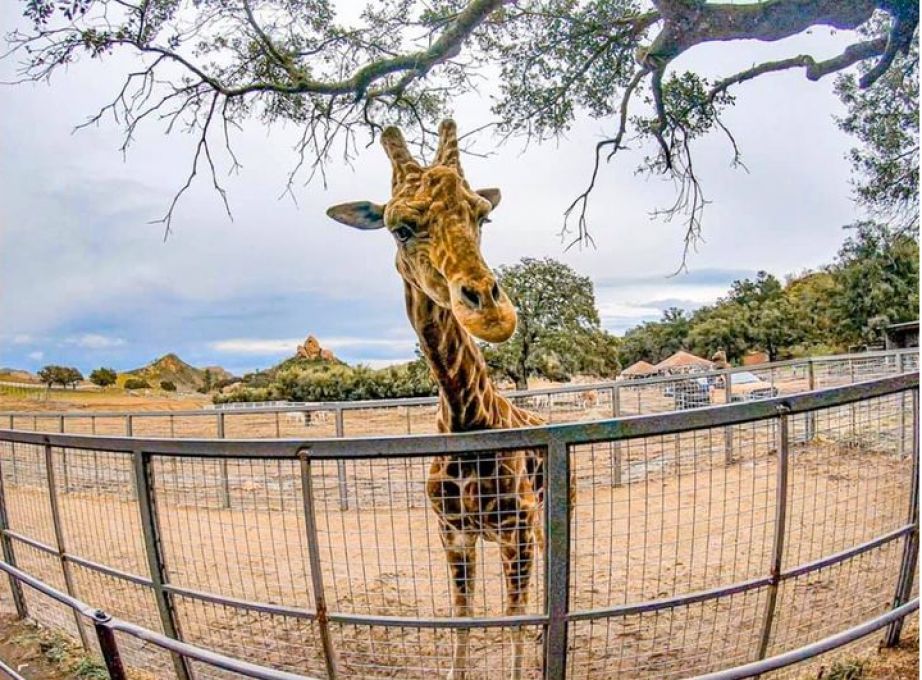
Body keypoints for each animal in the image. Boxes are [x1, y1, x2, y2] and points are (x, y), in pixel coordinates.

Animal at [327, 119, 546, 679]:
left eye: (482, 214)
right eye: (400, 227)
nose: (491, 312)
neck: (468, 420)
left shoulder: (514, 527)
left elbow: (512, 618)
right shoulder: (455, 533)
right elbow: (462, 617)